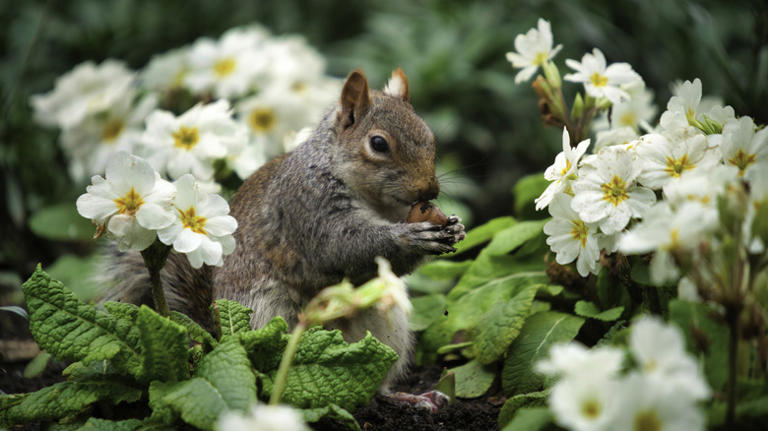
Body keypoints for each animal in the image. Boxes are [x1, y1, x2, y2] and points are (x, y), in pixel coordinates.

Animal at [101, 68, 466, 391]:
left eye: (430, 137)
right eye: (378, 143)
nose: (430, 190)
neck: (375, 201)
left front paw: (456, 227)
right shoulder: (304, 208)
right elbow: (341, 249)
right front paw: (410, 238)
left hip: (387, 323)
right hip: (268, 318)